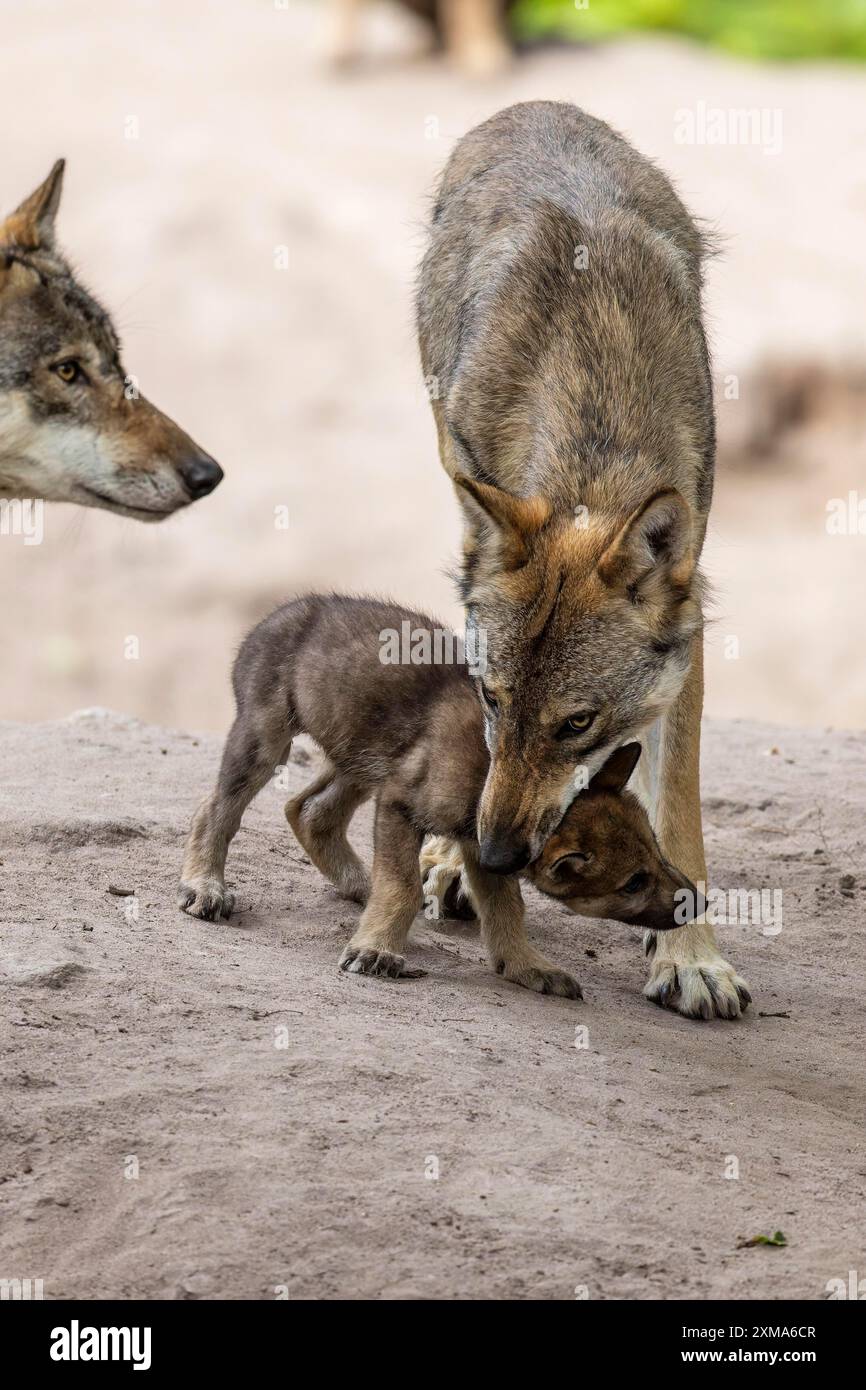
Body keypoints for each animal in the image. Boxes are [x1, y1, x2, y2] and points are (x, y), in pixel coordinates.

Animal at [179, 594, 702, 997]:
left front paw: (527, 967)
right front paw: (376, 950)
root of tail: (284, 611)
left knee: (308, 810)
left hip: (361, 757)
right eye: (632, 883)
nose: (698, 902)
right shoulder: (399, 807)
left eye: (657, 850)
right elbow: (403, 886)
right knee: (216, 808)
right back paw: (204, 886)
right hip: (268, 737)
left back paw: (359, 885)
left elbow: (507, 911)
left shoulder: (479, 849)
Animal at [416, 101, 750, 1019]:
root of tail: (534, 107)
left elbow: (677, 803)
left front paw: (692, 957)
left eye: (576, 723)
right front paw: (457, 862)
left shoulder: (689, 623)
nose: (497, 854)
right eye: (492, 698)